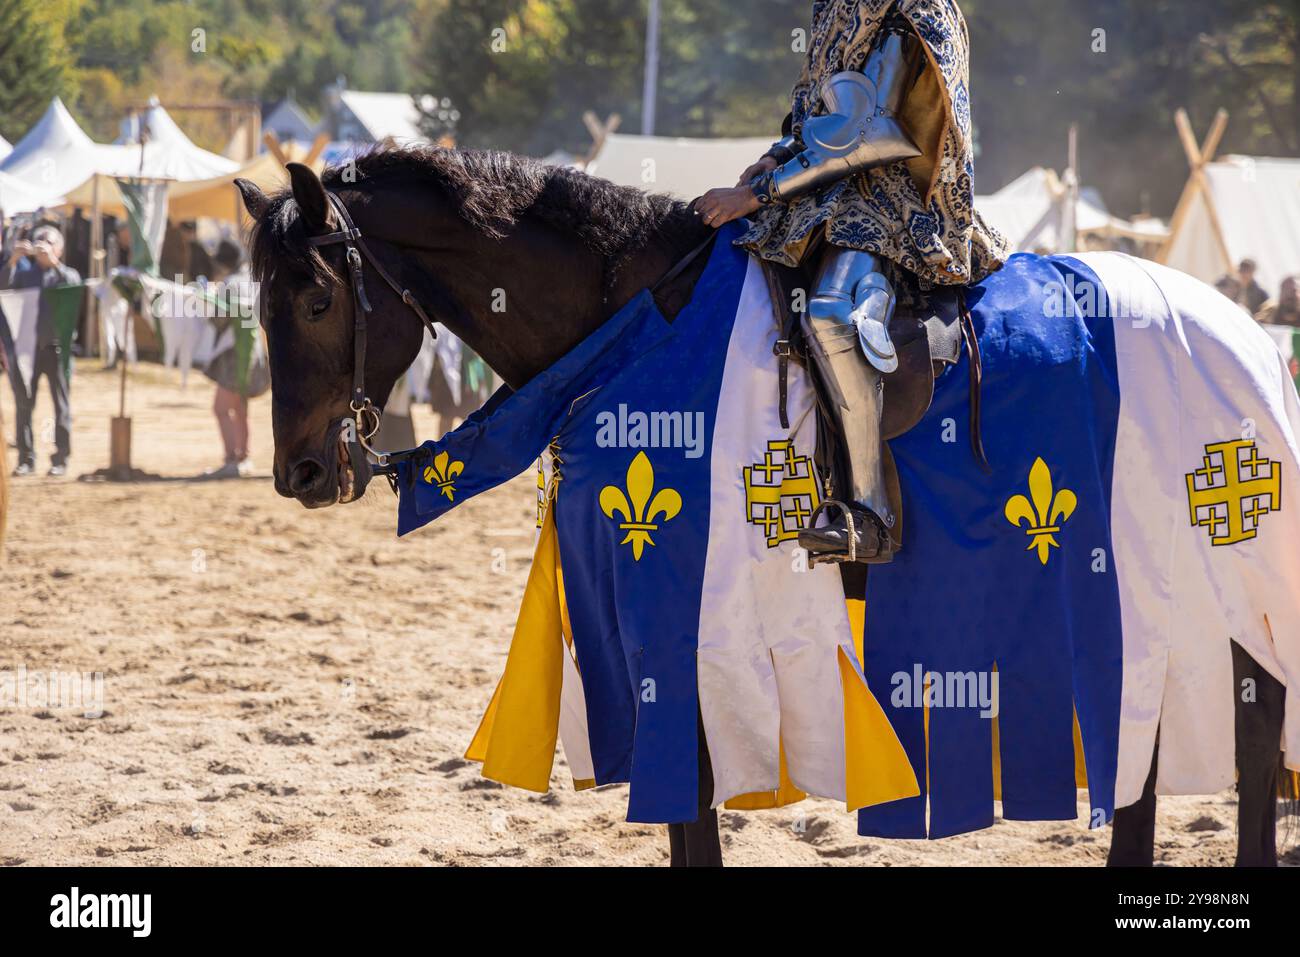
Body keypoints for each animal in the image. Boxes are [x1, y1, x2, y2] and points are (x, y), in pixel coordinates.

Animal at [235, 146, 1290, 866]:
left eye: (318, 299)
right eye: (260, 304)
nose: (300, 471)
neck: (637, 323)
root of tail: (1253, 335)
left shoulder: (685, 611)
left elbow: (694, 793)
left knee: (1252, 715)